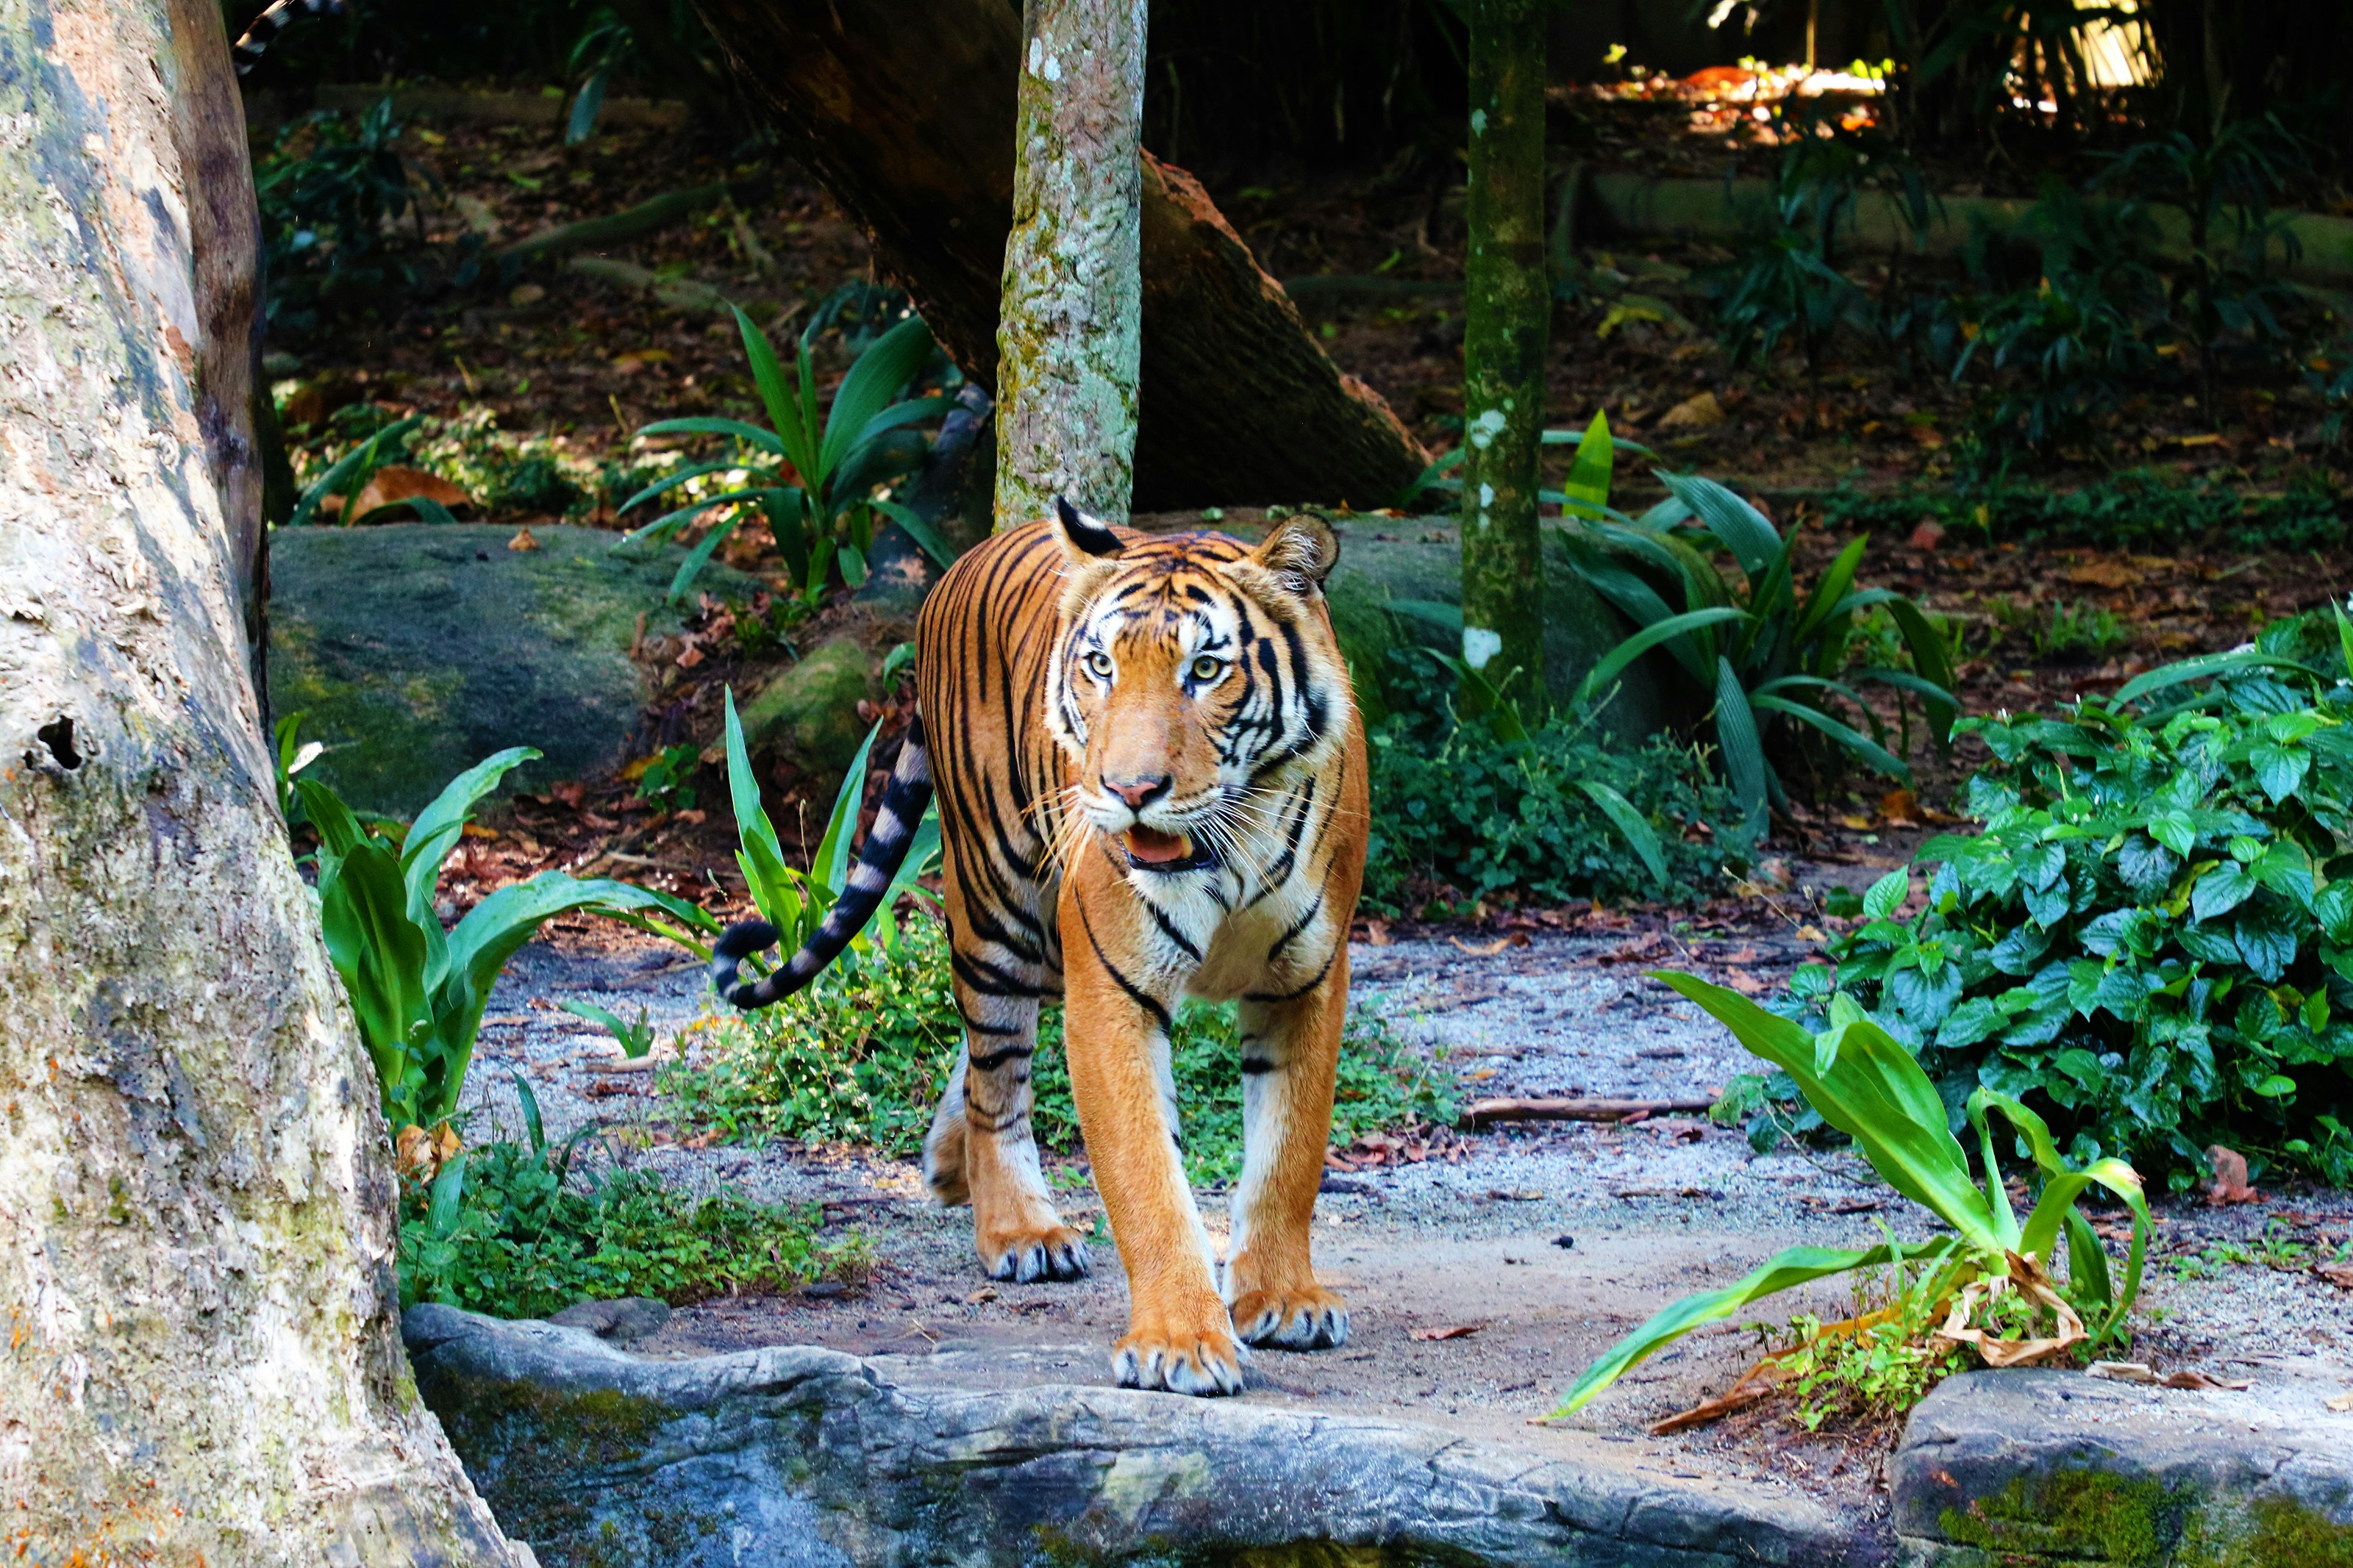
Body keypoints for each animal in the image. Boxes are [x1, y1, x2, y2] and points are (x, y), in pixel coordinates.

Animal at [711, 498, 1367, 1397]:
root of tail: (958, 564)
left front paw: (1282, 1299)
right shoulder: (1112, 989)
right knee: (996, 1079)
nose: (1129, 792)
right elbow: (1146, 1176)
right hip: (1001, 906)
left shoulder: (1305, 981)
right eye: (1100, 666)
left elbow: (1288, 1155)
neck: (1227, 846)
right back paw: (1018, 1228)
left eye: (1205, 670)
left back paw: (948, 1164)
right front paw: (1179, 1344)